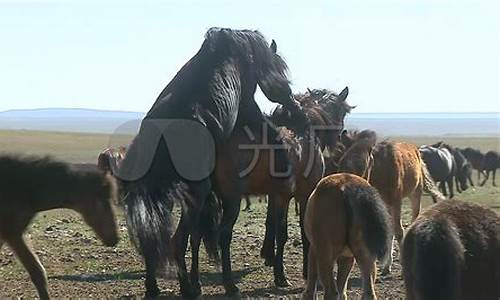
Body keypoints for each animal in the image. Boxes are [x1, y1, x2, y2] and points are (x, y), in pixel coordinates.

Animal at [116, 27, 308, 298]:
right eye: (281, 75)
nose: (296, 108)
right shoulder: (248, 104)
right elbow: (268, 129)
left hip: (167, 198)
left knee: (155, 237)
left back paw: (154, 287)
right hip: (198, 193)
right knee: (180, 240)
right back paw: (193, 288)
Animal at [328, 129, 446, 274]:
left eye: (364, 165)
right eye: (342, 162)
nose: (348, 185)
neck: (381, 173)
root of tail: (416, 150)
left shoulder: (396, 200)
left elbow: (399, 231)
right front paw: (386, 266)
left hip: (415, 193)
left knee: (414, 217)